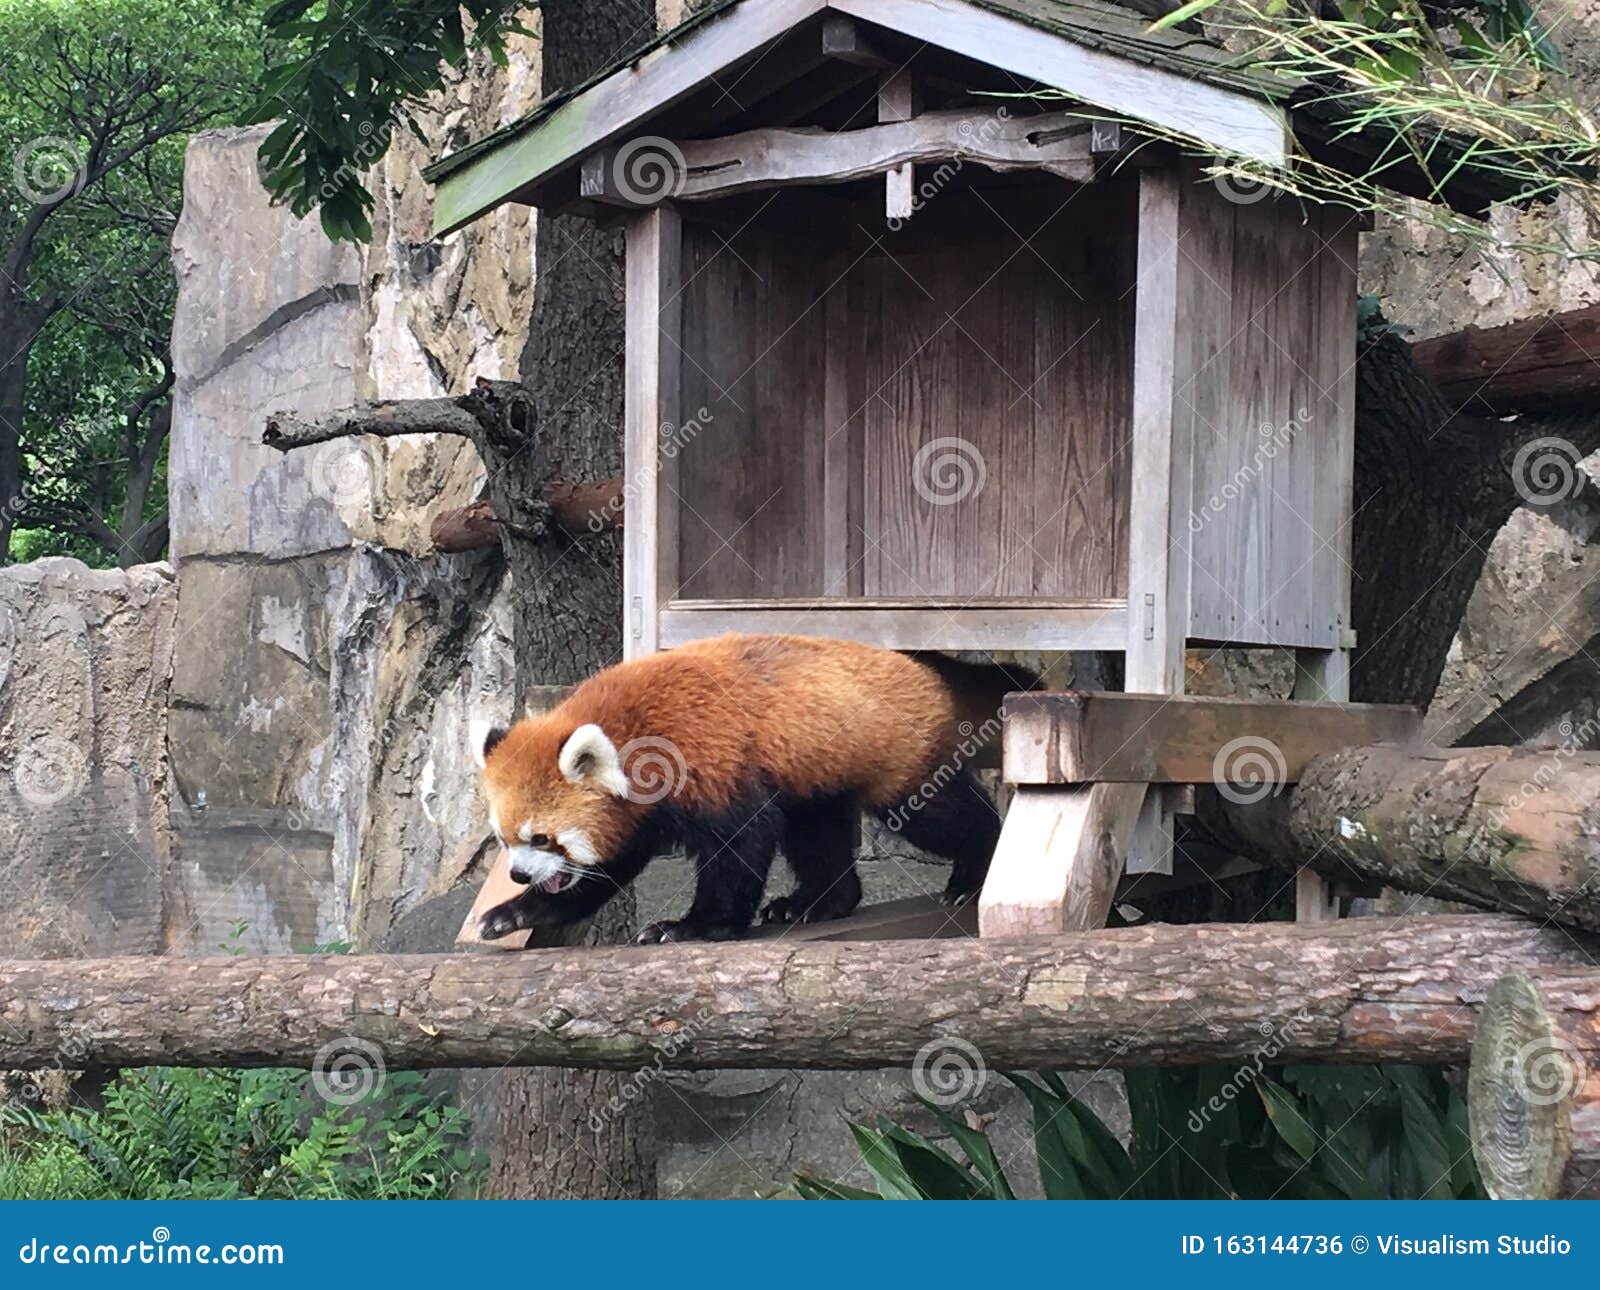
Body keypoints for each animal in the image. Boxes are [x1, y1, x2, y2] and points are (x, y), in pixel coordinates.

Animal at [470, 633, 1002, 944]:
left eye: (542, 837)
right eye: (503, 840)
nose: (518, 873)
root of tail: (920, 668)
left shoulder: (707, 758)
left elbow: (741, 842)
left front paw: (693, 926)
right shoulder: (636, 818)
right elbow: (607, 870)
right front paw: (517, 913)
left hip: (896, 752)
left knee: (936, 814)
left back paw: (972, 873)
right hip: (814, 770)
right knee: (816, 832)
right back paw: (817, 902)